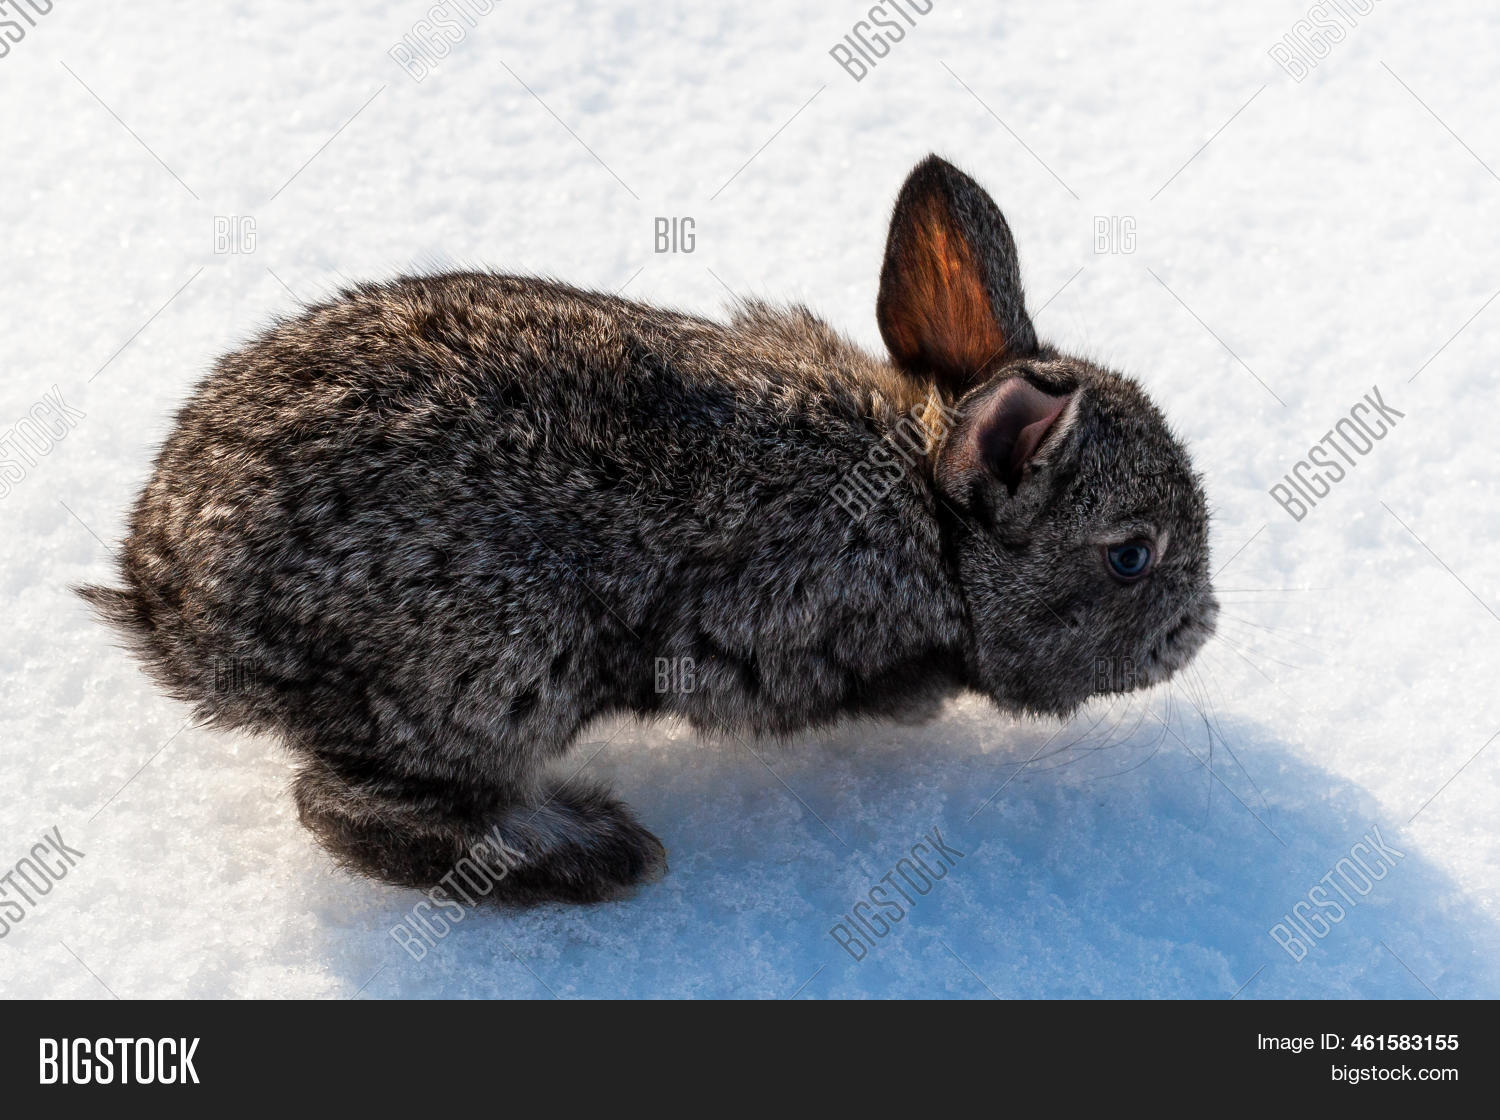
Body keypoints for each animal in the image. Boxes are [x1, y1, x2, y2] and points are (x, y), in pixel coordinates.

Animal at [80, 155, 1218, 906]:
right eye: (1131, 556)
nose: (1199, 626)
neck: (931, 519)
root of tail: (170, 602)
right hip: (494, 667)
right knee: (350, 803)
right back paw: (590, 851)